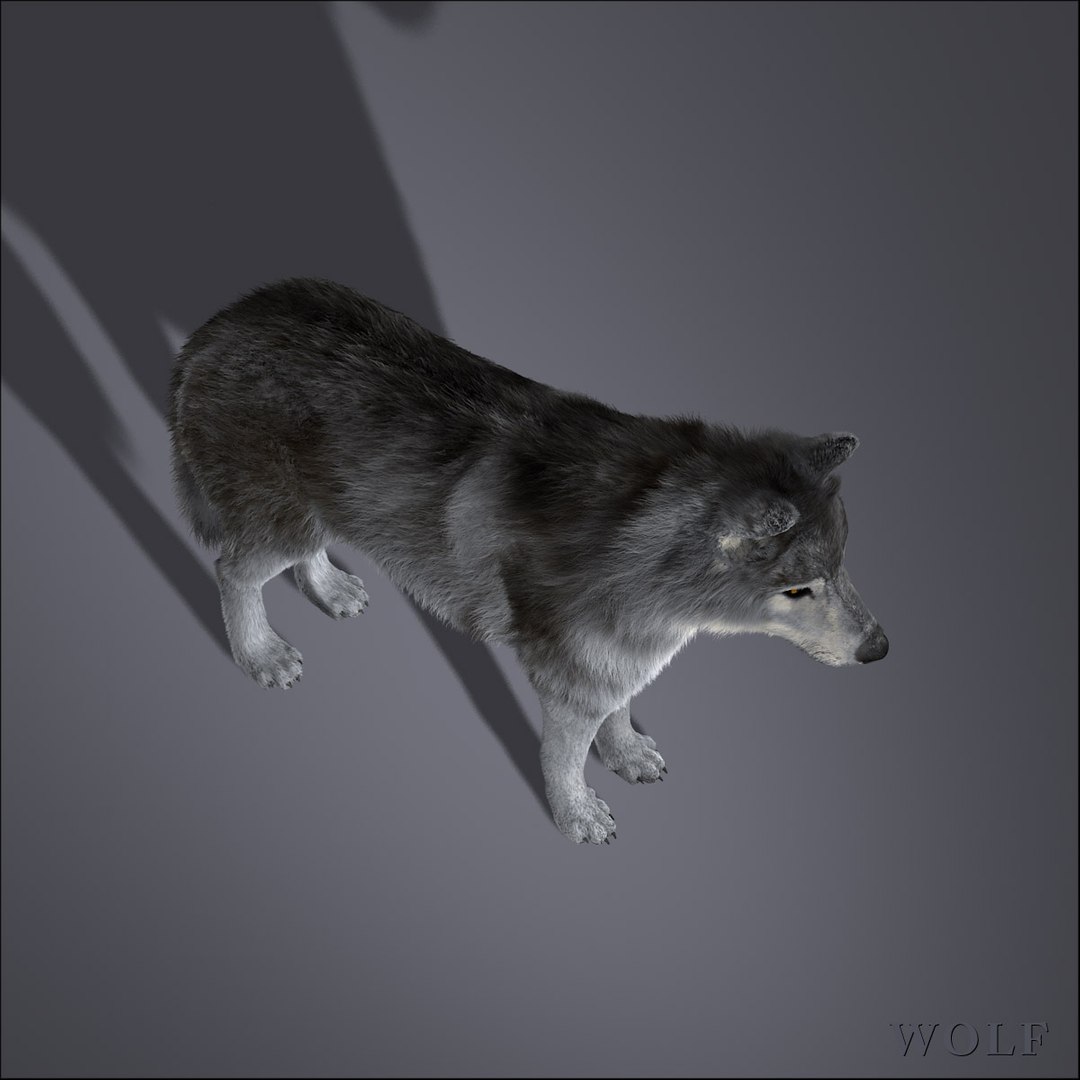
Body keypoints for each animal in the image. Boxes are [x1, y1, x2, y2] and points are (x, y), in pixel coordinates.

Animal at [168, 278, 888, 844]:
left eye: (840, 566)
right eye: (799, 589)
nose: (881, 649)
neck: (647, 549)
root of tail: (218, 324)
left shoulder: (618, 657)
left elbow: (618, 715)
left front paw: (627, 753)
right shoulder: (575, 672)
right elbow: (563, 758)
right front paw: (577, 815)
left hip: (315, 511)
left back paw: (333, 592)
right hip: (281, 521)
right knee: (233, 571)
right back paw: (259, 653)